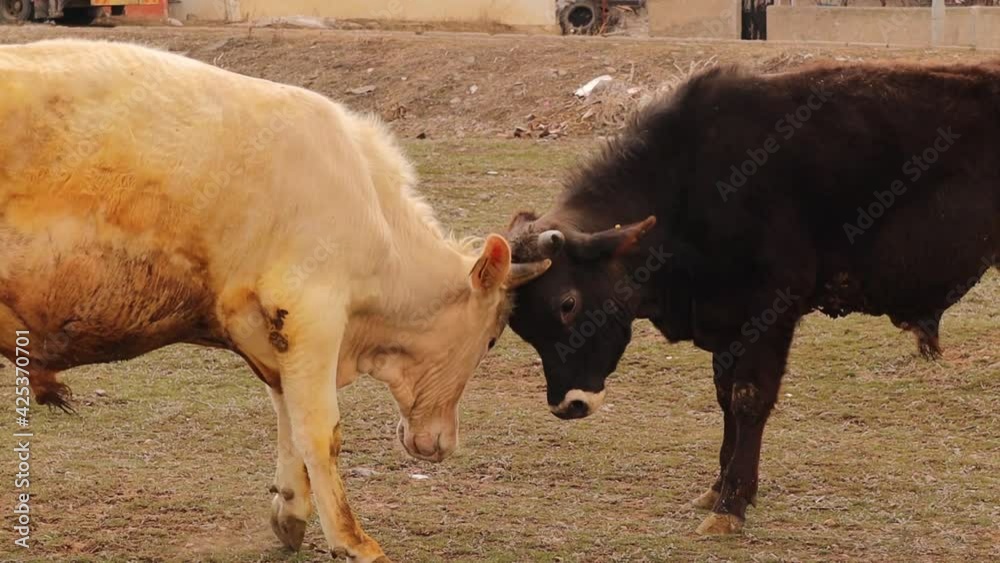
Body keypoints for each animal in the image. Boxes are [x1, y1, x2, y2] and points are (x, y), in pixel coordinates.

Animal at [0, 40, 550, 562]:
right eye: (493, 339)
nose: (445, 444)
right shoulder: (313, 312)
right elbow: (319, 431)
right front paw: (353, 541)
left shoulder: (271, 332)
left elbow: (289, 420)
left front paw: (290, 512)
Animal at [505, 62, 998, 535]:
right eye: (519, 324)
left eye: (567, 304)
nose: (568, 404)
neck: (689, 180)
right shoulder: (728, 325)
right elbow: (725, 397)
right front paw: (718, 488)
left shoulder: (769, 314)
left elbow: (748, 398)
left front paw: (732, 505)